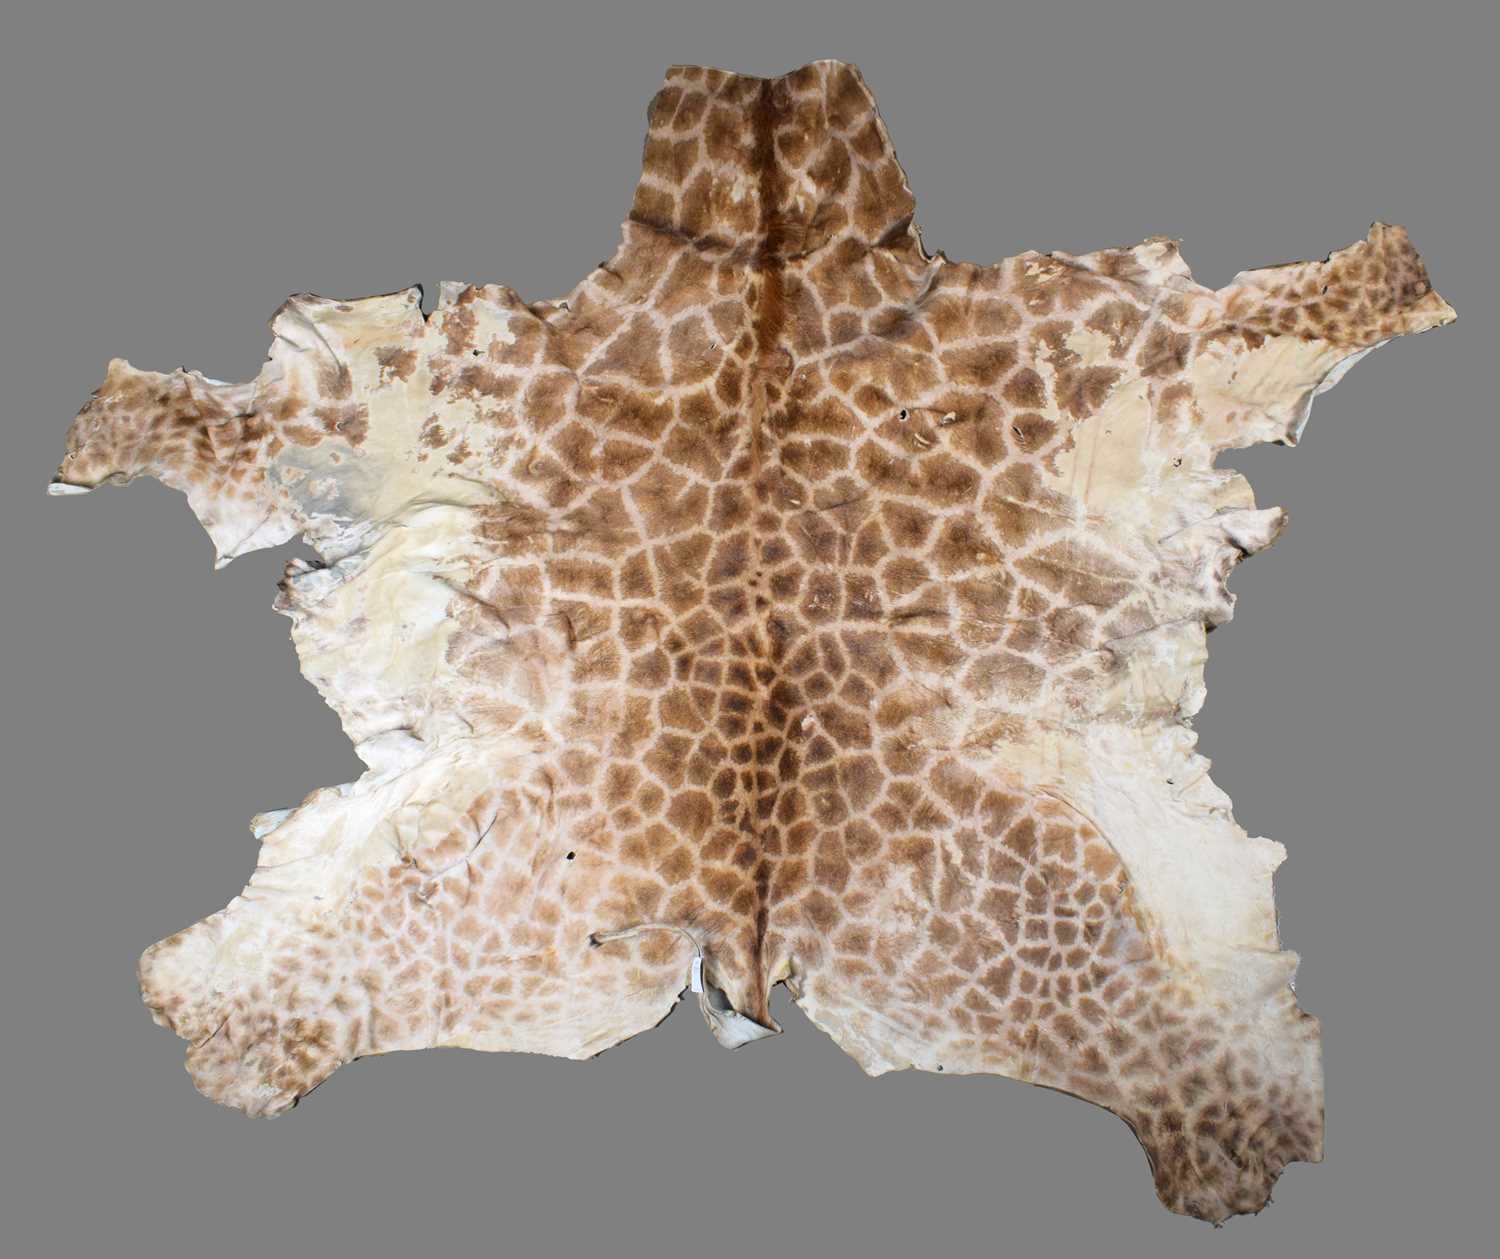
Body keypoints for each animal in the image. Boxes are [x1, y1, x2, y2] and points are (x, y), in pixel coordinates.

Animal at [50, 61, 1453, 1221]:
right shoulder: (397, 388)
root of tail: (750, 943)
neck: (772, 268)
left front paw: (1390, 282)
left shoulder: (1140, 341)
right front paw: (113, 428)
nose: (764, 90)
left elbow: (1264, 317)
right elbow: (243, 416)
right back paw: (225, 1015)